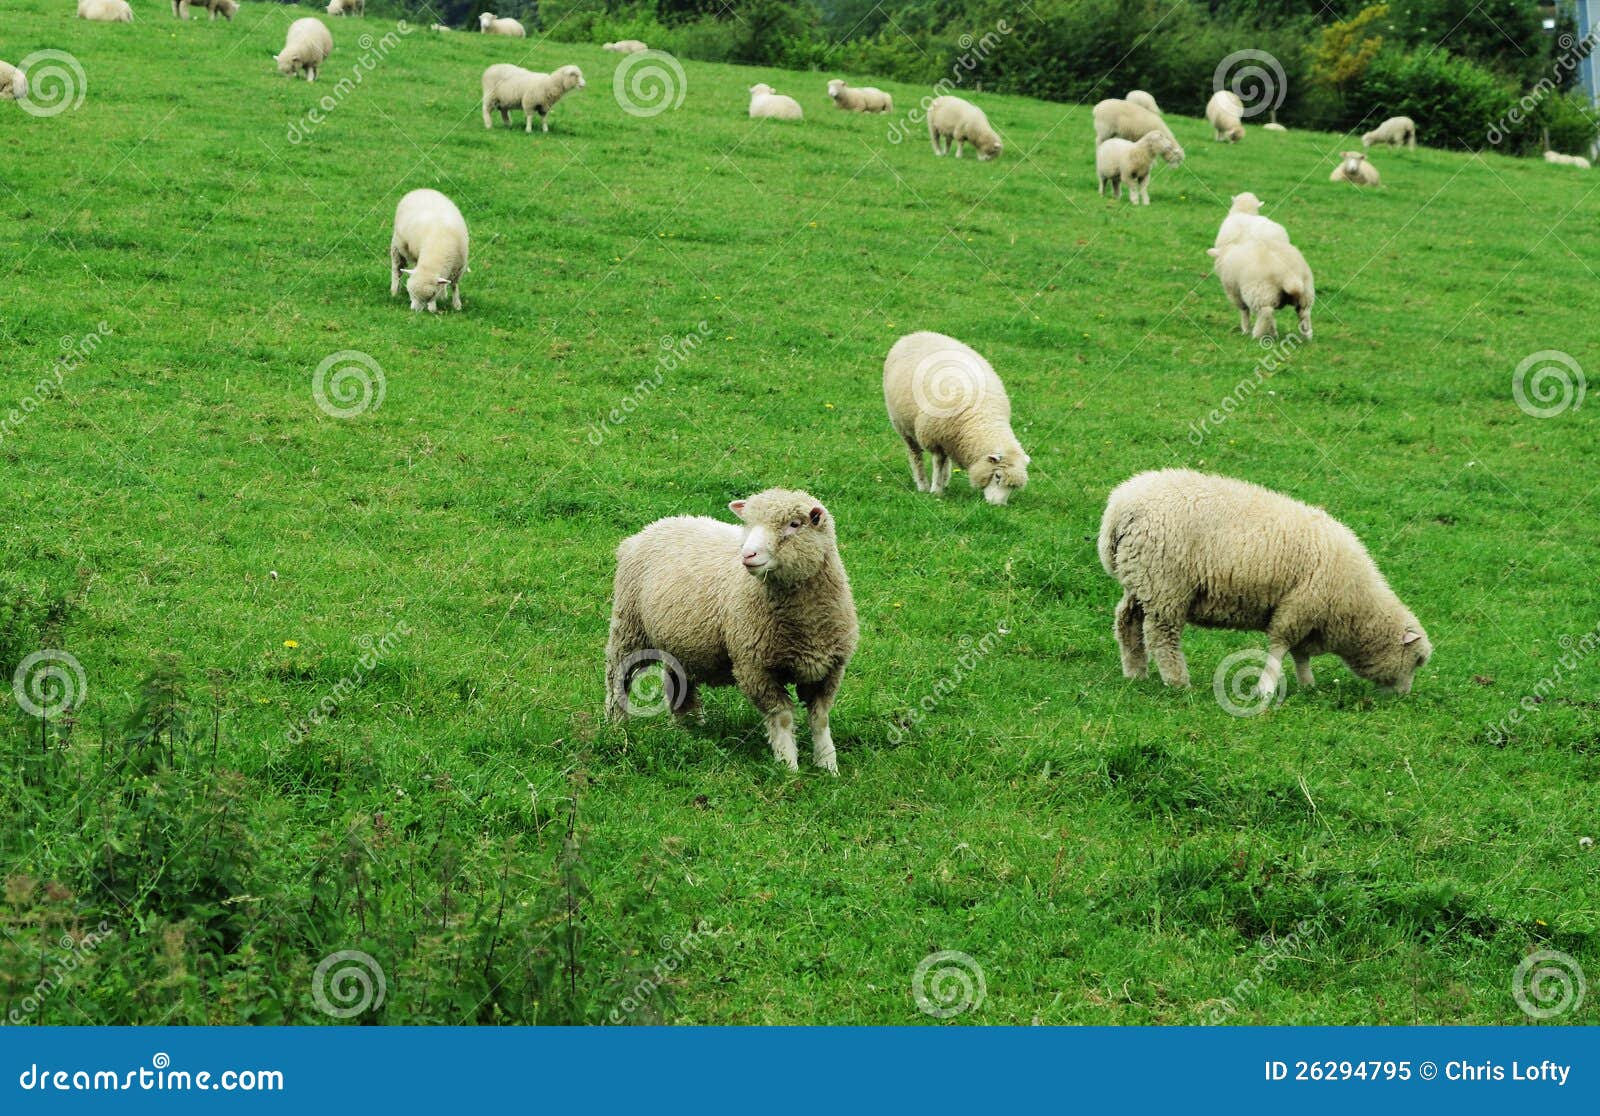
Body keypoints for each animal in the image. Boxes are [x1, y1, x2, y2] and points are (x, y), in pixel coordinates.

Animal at [605, 489, 859, 775]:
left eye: (794, 524)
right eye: (747, 524)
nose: (747, 554)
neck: (805, 626)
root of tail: (655, 526)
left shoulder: (830, 669)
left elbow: (820, 720)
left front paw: (828, 766)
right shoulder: (755, 668)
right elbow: (782, 717)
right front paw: (788, 765)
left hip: (678, 643)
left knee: (678, 682)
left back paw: (687, 726)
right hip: (629, 628)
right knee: (617, 679)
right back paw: (616, 725)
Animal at [883, 331, 1030, 505]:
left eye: (1013, 487)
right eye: (998, 476)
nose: (998, 506)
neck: (982, 418)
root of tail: (913, 334)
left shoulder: (949, 435)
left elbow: (942, 462)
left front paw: (940, 484)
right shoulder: (935, 437)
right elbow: (938, 462)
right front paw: (936, 491)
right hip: (902, 424)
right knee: (916, 455)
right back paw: (922, 484)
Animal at [1098, 469, 1431, 698]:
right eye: (1417, 661)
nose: (1403, 696)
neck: (1358, 604)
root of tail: (1121, 508)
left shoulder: (1308, 617)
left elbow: (1300, 654)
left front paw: (1307, 685)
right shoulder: (1299, 607)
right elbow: (1280, 648)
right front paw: (1266, 688)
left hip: (1140, 579)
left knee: (1126, 622)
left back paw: (1135, 672)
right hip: (1166, 584)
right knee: (1162, 636)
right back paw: (1177, 682)